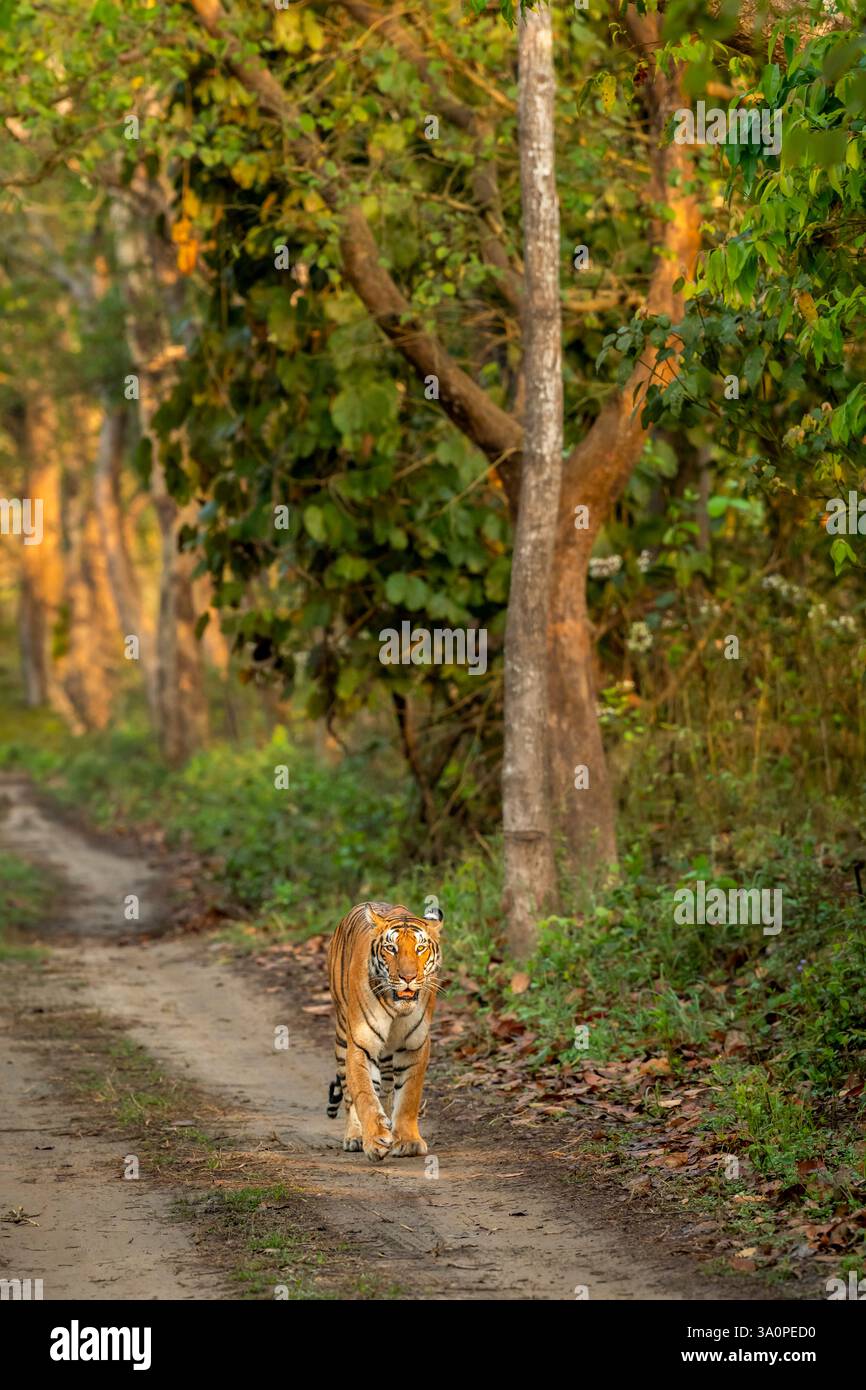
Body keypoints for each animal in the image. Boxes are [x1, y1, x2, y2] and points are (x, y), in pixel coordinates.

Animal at [326, 900, 443, 1161]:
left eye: (420, 948)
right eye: (391, 948)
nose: (408, 977)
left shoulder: (415, 1046)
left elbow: (408, 1096)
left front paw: (408, 1141)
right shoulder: (361, 1044)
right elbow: (365, 1095)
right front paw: (376, 1140)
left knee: (389, 1089)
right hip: (342, 1036)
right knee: (349, 1092)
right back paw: (355, 1136)